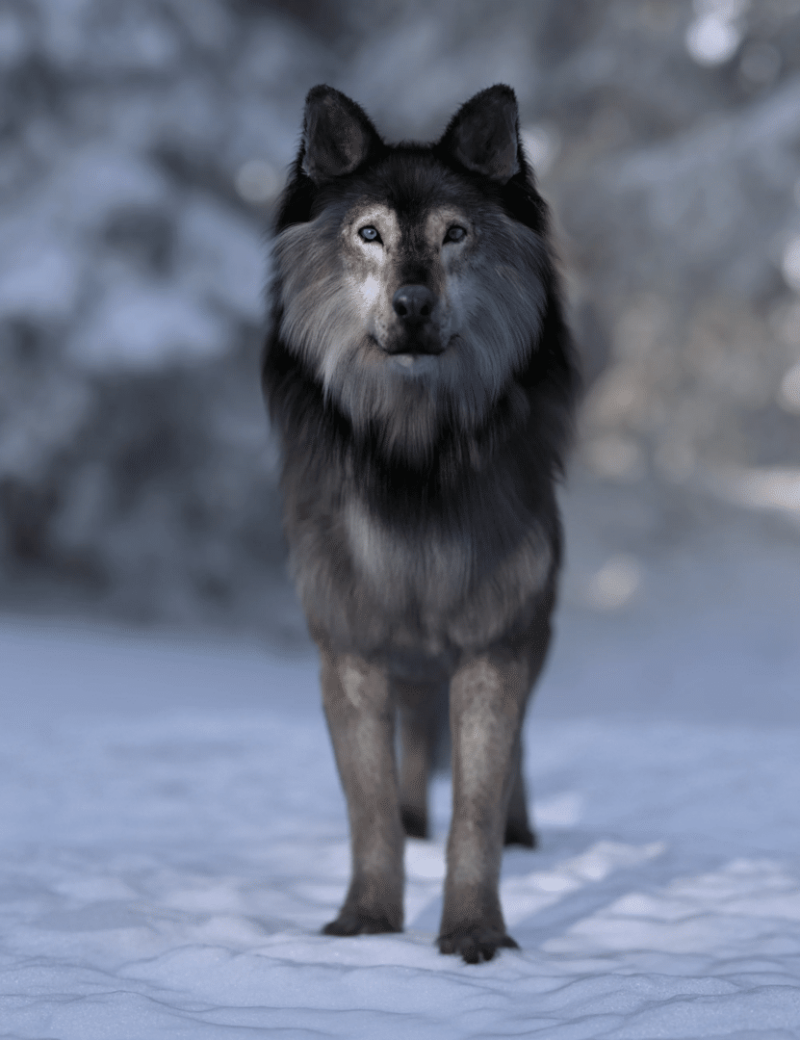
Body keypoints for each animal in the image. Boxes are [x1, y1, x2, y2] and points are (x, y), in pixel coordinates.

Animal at [263, 84, 578, 963]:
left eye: (454, 234)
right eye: (369, 232)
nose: (411, 305)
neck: (414, 449)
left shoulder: (495, 641)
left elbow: (475, 804)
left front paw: (475, 933)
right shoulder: (351, 645)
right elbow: (368, 809)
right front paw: (365, 922)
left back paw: (520, 832)